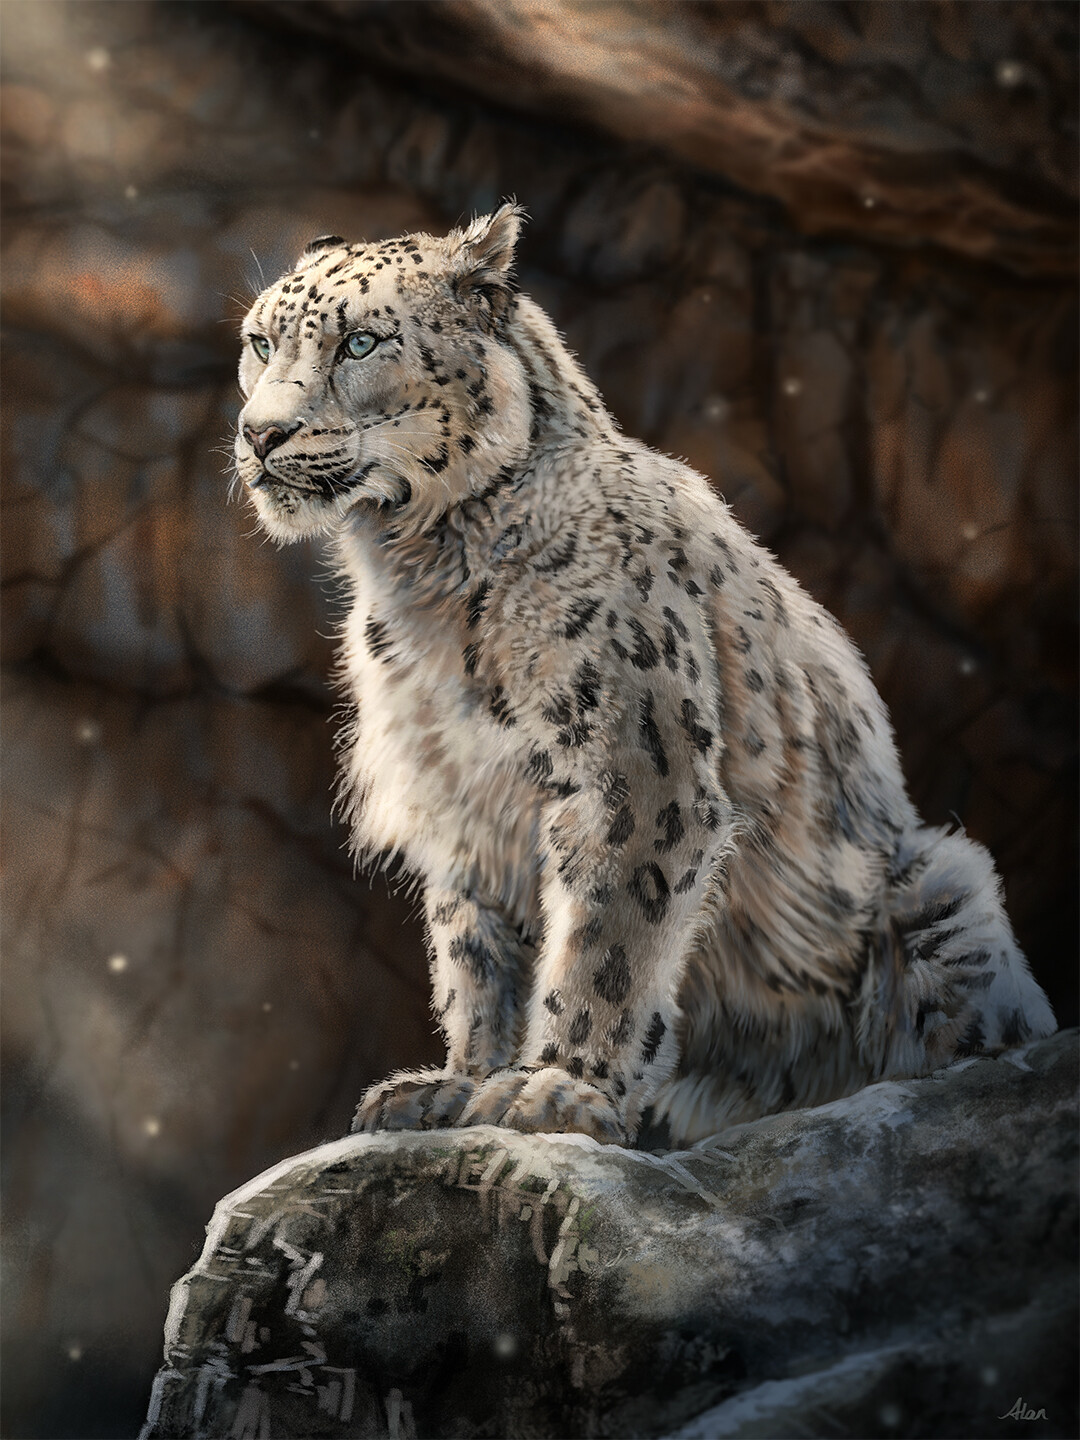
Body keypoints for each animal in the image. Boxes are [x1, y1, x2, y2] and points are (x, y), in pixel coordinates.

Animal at [233, 202, 1056, 1148]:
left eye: (361, 343)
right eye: (260, 342)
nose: (260, 433)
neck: (420, 577)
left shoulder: (632, 768)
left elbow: (606, 941)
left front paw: (557, 1089)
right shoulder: (458, 799)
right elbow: (477, 954)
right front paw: (457, 1084)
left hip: (939, 881)